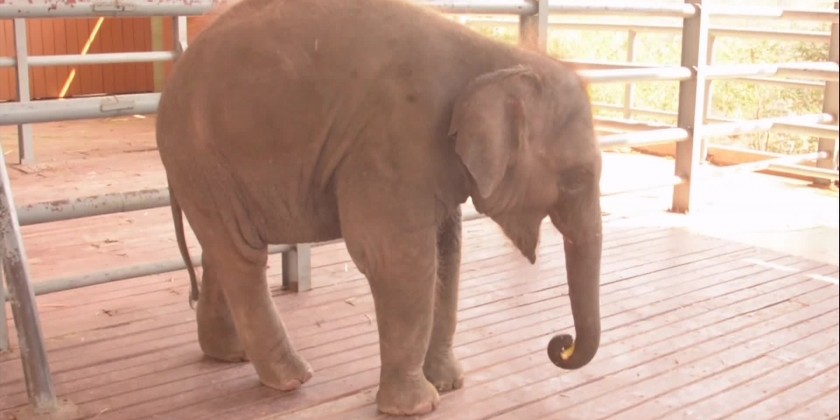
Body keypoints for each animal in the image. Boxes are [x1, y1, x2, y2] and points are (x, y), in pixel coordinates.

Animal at [156, 0, 603, 415]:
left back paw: (230, 355)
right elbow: (397, 258)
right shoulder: (394, 142)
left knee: (223, 249)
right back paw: (291, 379)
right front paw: (419, 406)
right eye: (576, 179)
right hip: (199, 156)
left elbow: (447, 252)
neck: (502, 56)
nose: (560, 344)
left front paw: (449, 384)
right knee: (242, 257)